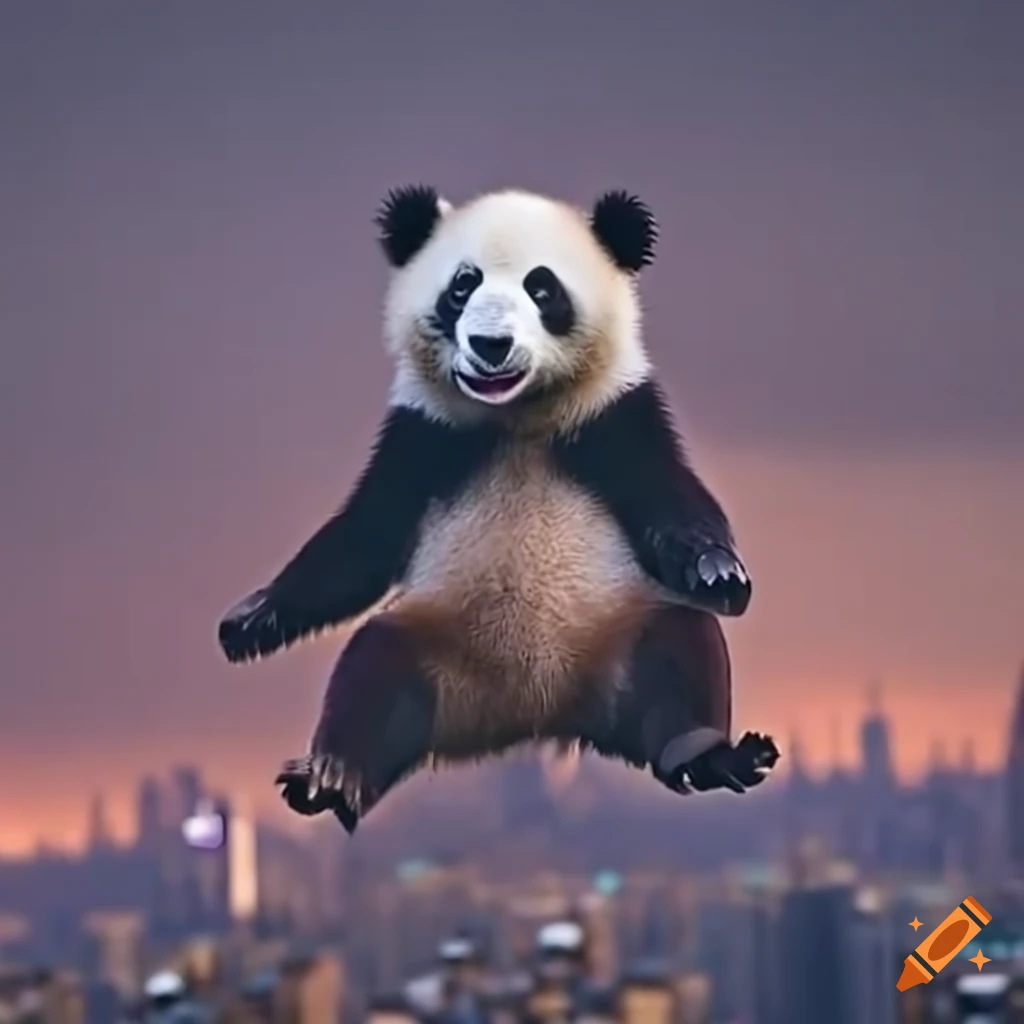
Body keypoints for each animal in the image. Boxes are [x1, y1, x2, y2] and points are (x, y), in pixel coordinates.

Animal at [217, 185, 779, 833]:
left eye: (543, 289)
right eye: (462, 286)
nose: (491, 345)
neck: (515, 417)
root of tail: (535, 713)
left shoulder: (619, 416)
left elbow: (673, 506)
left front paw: (718, 571)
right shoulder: (421, 435)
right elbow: (362, 541)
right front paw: (251, 617)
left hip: (621, 627)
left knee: (680, 654)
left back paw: (710, 755)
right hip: (434, 645)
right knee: (370, 676)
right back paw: (331, 779)